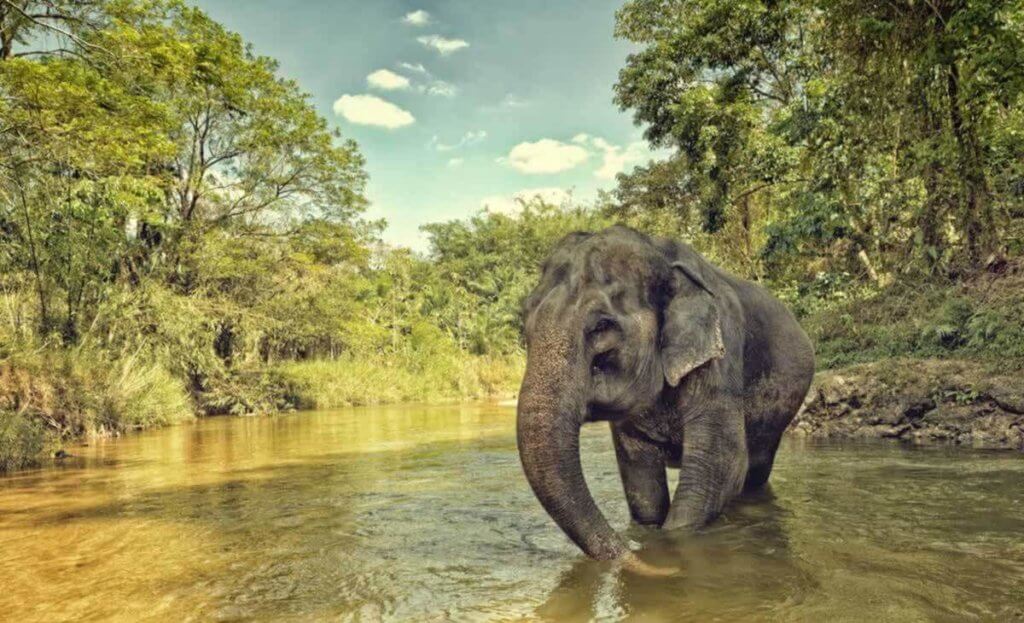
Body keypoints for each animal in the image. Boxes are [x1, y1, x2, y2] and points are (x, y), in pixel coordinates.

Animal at [516, 225, 815, 568]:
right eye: (524, 319)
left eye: (602, 325)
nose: (632, 555)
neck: (659, 253)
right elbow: (641, 480)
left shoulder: (720, 356)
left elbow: (719, 467)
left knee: (755, 470)